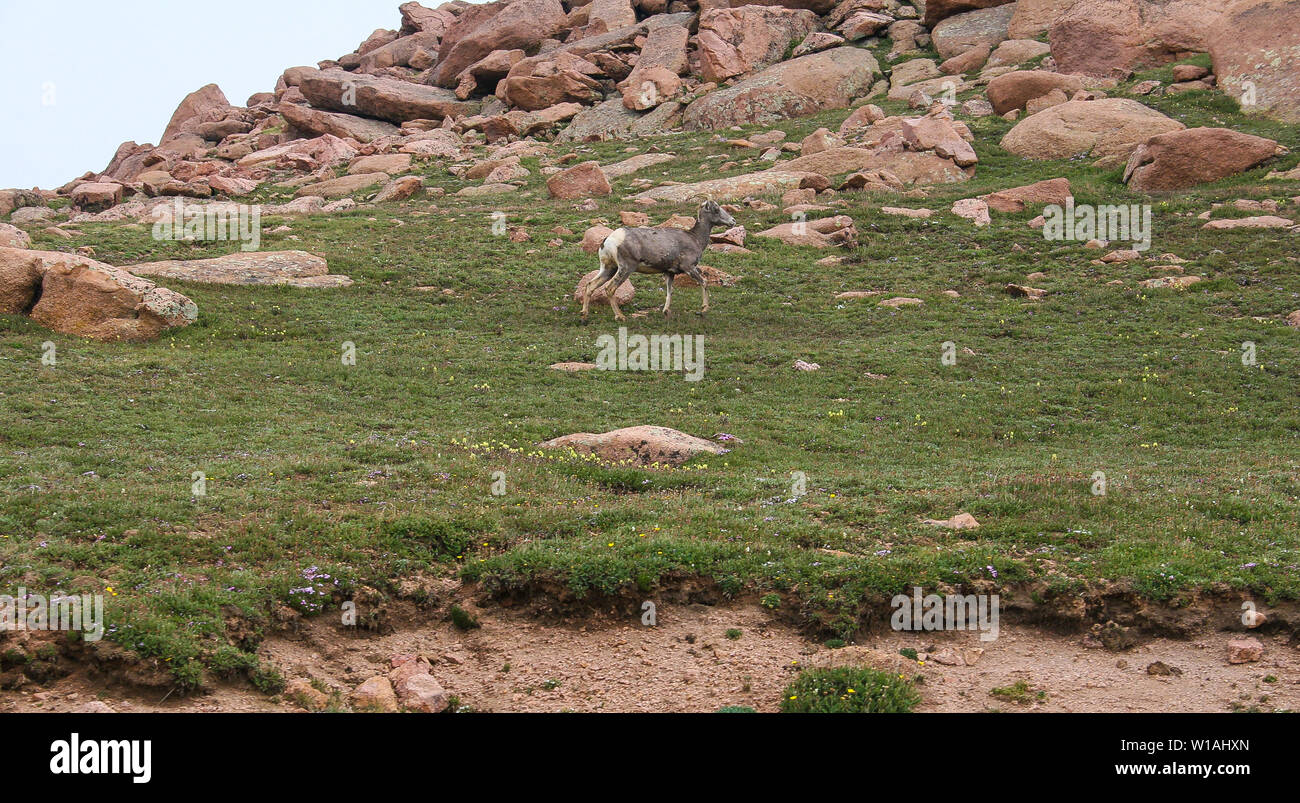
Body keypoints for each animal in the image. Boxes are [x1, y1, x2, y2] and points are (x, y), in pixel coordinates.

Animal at [581, 200, 737, 322]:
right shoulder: (689, 268)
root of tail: (610, 240)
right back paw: (620, 317)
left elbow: (670, 291)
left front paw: (666, 312)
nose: (733, 221)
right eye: (716, 209)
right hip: (625, 269)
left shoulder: (669, 273)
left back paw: (584, 317)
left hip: (608, 268)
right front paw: (703, 310)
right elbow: (704, 282)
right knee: (610, 289)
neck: (695, 238)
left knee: (590, 285)